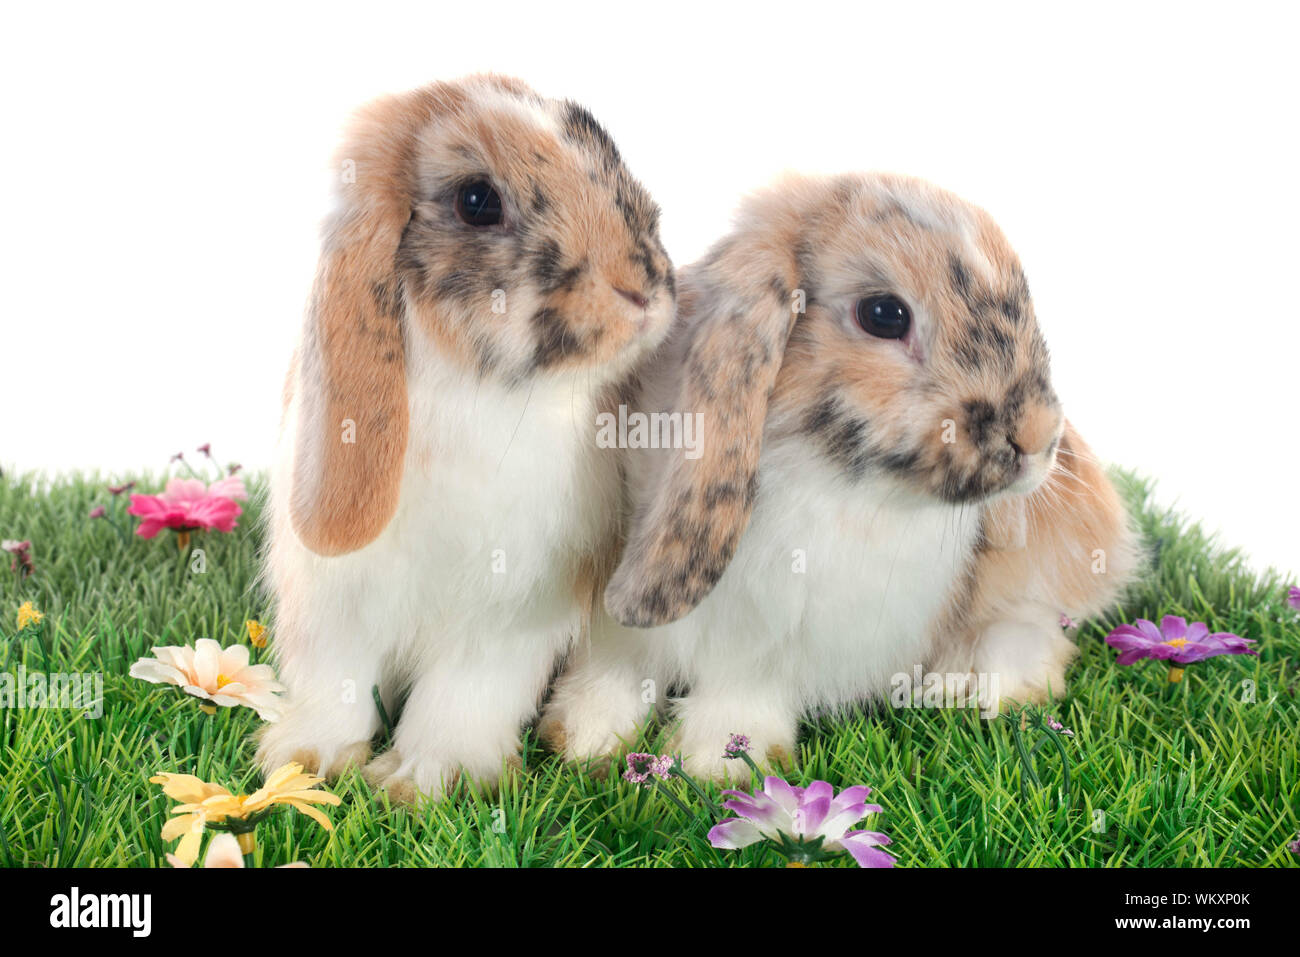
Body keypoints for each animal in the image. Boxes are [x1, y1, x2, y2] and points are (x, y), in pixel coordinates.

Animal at [254, 75, 675, 802]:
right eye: (477, 200)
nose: (643, 286)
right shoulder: (332, 601)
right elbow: (334, 683)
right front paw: (304, 761)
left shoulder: (510, 613)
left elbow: (462, 697)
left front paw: (422, 780)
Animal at [539, 171, 1138, 781]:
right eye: (884, 315)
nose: (1038, 439)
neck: (814, 469)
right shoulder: (623, 619)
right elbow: (616, 668)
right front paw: (583, 739)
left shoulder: (780, 644)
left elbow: (739, 694)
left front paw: (714, 764)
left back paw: (976, 687)